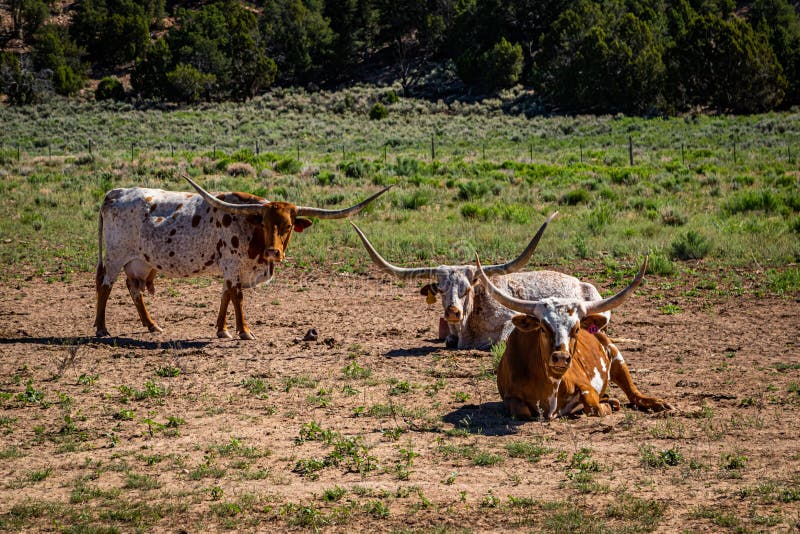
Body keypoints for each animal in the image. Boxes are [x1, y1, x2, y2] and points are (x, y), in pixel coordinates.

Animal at [94, 176, 391, 339]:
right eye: (265, 223)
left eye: (289, 225)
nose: (274, 252)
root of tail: (115, 193)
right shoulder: (234, 265)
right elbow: (237, 296)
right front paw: (244, 331)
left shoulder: (230, 269)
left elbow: (225, 295)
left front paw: (222, 329)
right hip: (115, 255)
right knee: (105, 286)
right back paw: (101, 328)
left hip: (139, 261)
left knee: (134, 289)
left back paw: (152, 326)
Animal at [350, 213, 611, 350]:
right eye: (441, 289)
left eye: (466, 289)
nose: (453, 312)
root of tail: (579, 281)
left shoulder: (509, 321)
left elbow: (499, 341)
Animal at [475, 254, 672, 419]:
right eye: (543, 328)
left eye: (576, 329)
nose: (561, 357)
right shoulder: (510, 398)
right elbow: (522, 410)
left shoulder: (586, 386)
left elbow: (594, 407)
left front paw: (605, 405)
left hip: (617, 357)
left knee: (634, 393)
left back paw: (657, 404)